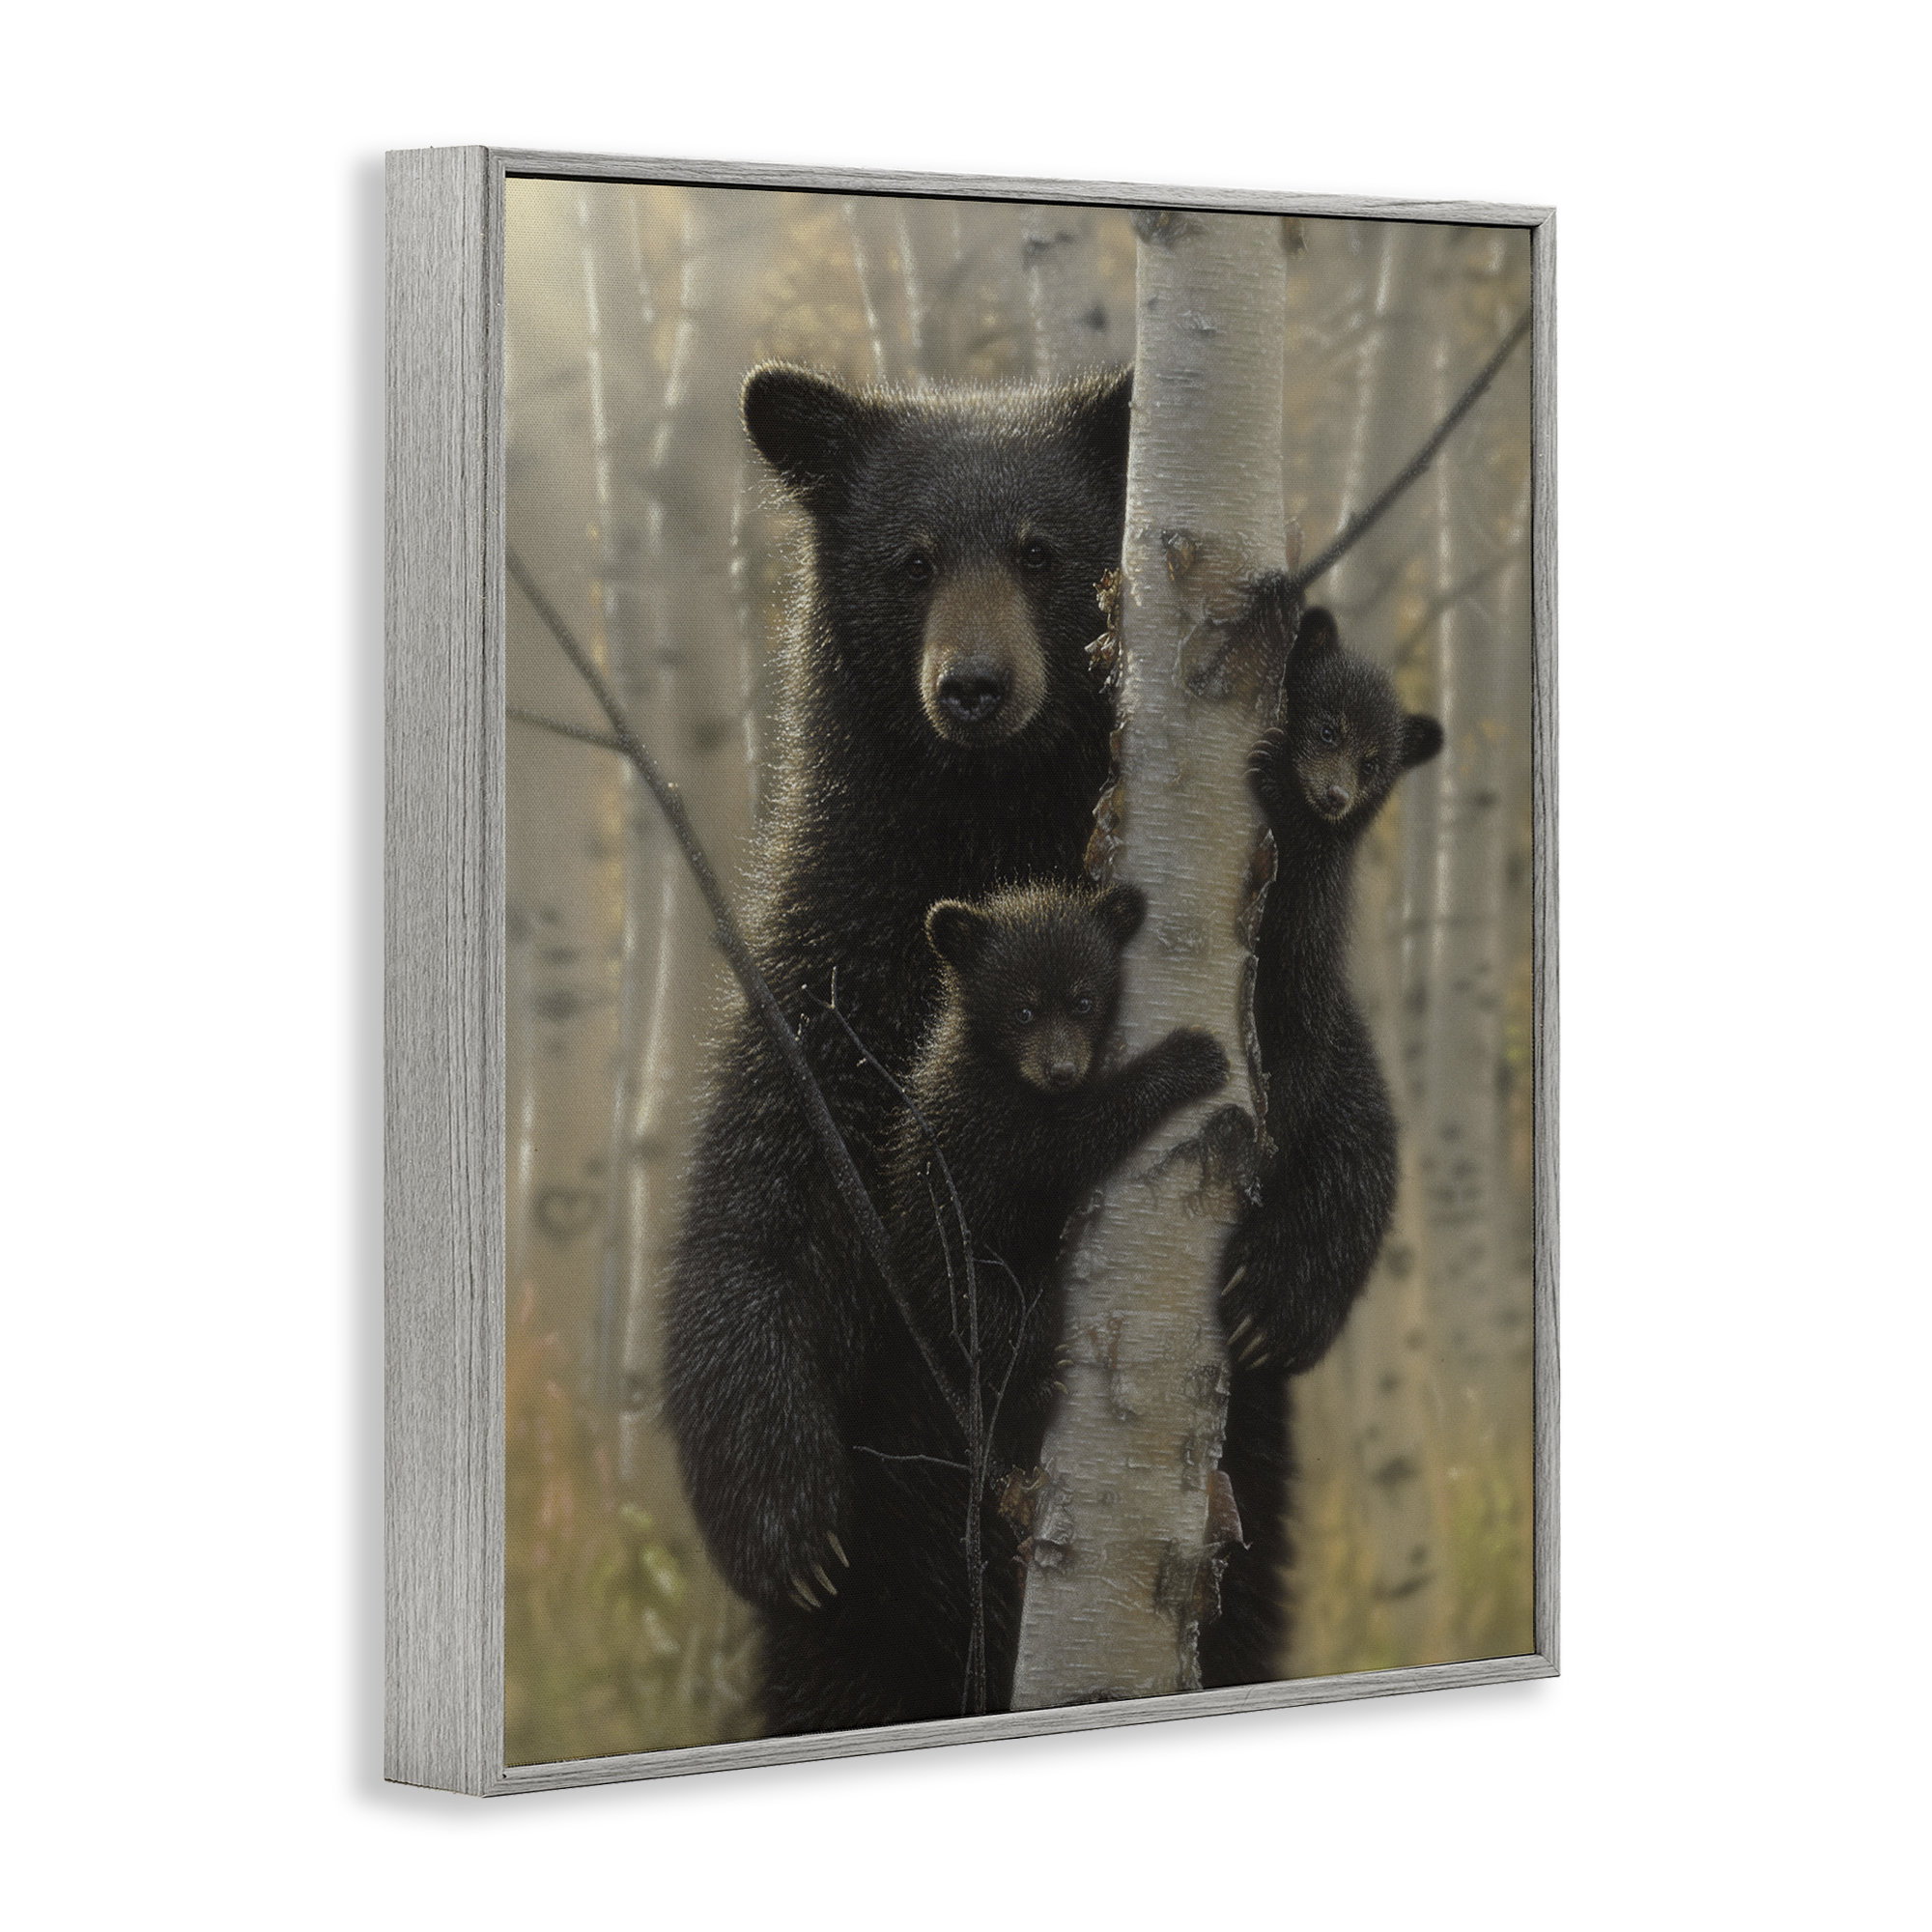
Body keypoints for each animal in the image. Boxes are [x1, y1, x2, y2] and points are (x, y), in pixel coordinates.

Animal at [662, 363, 1136, 1730]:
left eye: (1040, 549)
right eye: (909, 560)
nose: (972, 685)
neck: (978, 835)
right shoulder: (825, 982)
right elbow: (753, 1206)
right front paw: (784, 1519)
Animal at [751, 880, 1230, 1733]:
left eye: (1084, 997)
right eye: (1022, 1008)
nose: (1063, 1069)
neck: (999, 1069)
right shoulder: (991, 1130)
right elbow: (1071, 1143)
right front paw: (1188, 1058)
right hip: (969, 1287)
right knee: (1010, 1334)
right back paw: (1039, 1383)